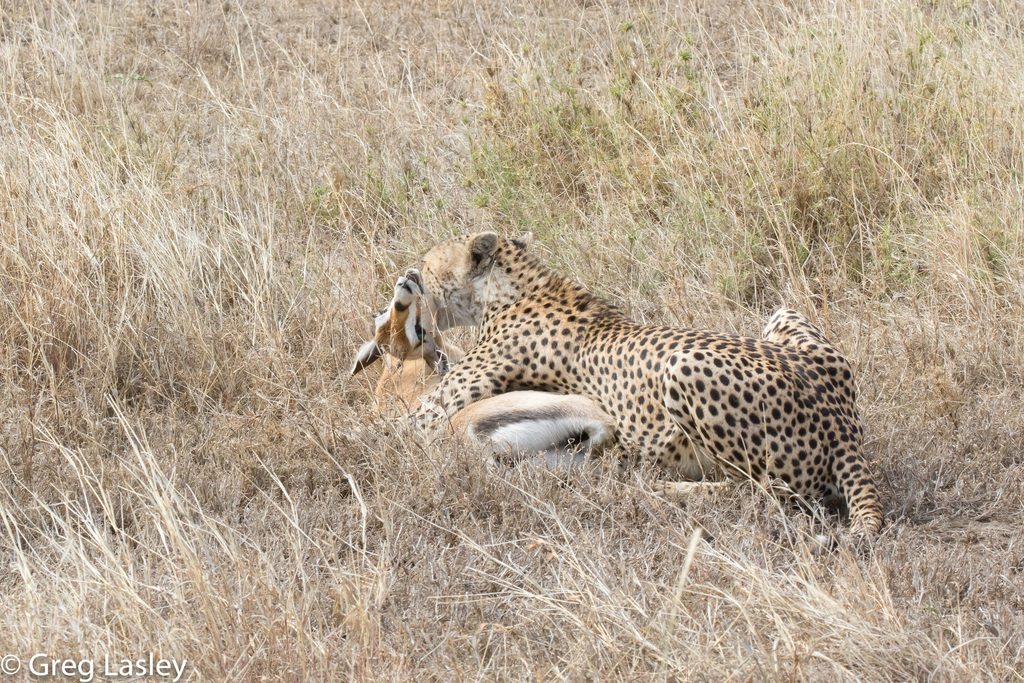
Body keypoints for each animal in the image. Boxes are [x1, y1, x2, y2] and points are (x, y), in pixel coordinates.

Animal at [407, 232, 883, 536]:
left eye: (428, 265)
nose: (410, 274)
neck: (517, 287)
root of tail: (843, 431)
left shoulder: (436, 414)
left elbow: (406, 427)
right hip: (783, 313)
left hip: (683, 366)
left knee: (763, 495)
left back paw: (660, 488)